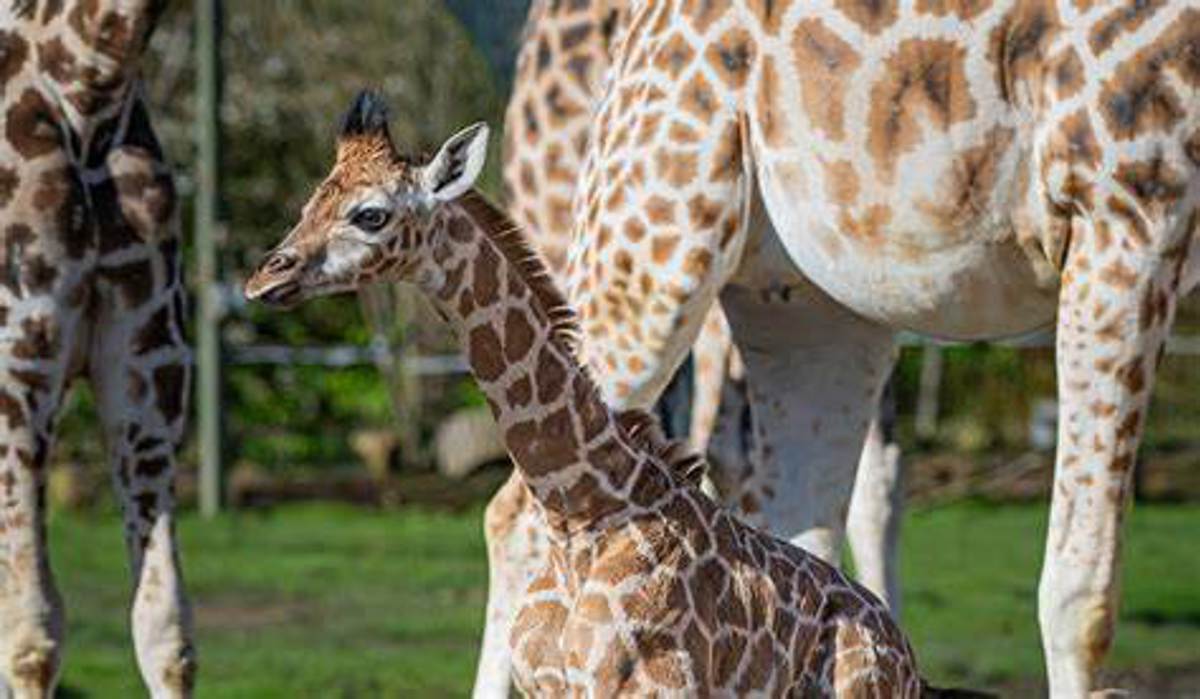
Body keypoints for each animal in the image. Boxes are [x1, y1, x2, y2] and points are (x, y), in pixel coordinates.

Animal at [244, 93, 926, 696]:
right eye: (309, 203)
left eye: (371, 214)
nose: (261, 278)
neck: (577, 515)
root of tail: (907, 656)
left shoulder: (659, 687)